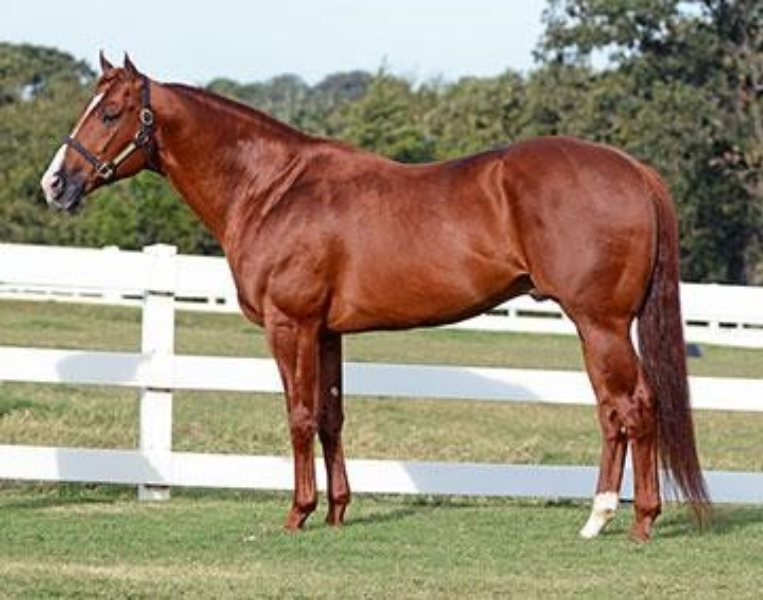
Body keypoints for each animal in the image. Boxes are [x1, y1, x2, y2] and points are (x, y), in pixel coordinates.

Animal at [41, 54, 710, 541]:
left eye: (111, 113)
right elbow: (330, 416)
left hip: (599, 324)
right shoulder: (327, 332)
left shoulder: (290, 326)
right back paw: (603, 518)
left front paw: (298, 514)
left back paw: (629, 521)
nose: (56, 183)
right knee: (614, 412)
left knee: (632, 408)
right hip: (597, 327)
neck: (272, 189)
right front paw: (338, 511)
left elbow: (298, 416)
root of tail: (633, 169)